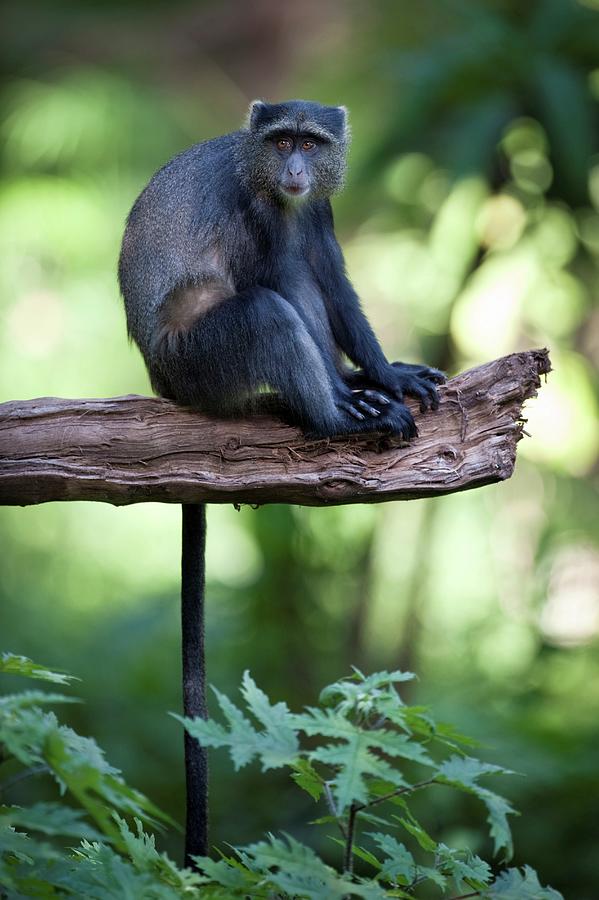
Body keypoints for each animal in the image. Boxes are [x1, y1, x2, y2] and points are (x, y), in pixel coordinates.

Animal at [118, 99, 445, 441]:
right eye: (283, 143)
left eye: (309, 144)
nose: (295, 169)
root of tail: (158, 375)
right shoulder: (254, 208)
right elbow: (282, 285)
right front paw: (343, 399)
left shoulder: (320, 206)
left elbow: (333, 284)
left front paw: (388, 375)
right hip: (190, 364)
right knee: (264, 311)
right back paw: (333, 419)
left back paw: (348, 379)